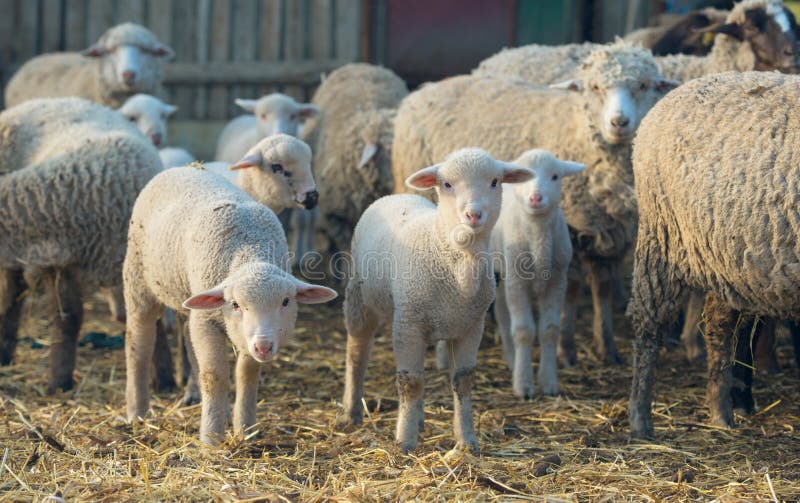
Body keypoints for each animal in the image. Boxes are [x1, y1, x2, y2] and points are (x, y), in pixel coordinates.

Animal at [124, 166, 337, 444]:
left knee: (188, 340)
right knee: (138, 344)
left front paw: (246, 429)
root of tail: (183, 167)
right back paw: (137, 412)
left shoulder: (238, 333)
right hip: (139, 280)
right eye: (235, 304)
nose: (263, 346)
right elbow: (214, 376)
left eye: (286, 301)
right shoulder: (208, 321)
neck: (249, 249)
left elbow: (247, 375)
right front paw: (211, 439)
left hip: (189, 299)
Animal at [342, 148, 534, 454]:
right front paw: (404, 441)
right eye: (447, 184)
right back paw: (352, 411)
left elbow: (463, 382)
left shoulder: (471, 327)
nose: (473, 214)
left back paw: (418, 419)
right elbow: (411, 382)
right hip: (361, 300)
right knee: (357, 353)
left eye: (494, 182)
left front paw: (466, 441)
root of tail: (394, 195)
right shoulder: (408, 325)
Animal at [393, 42, 678, 365]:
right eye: (594, 87)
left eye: (643, 85)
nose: (619, 123)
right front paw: (566, 349)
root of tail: (425, 88)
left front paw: (606, 347)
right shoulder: (570, 230)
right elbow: (572, 291)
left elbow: (603, 290)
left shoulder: (612, 233)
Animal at [490, 150, 585, 399]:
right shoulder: (518, 283)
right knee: (504, 316)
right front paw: (524, 385)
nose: (535, 198)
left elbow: (550, 330)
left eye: (555, 176)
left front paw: (549, 382)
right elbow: (524, 330)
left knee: (501, 308)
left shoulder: (557, 282)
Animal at [627, 71, 800, 439]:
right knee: (647, 327)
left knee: (719, 328)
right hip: (660, 241)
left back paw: (721, 413)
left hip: (729, 261)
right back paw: (640, 421)